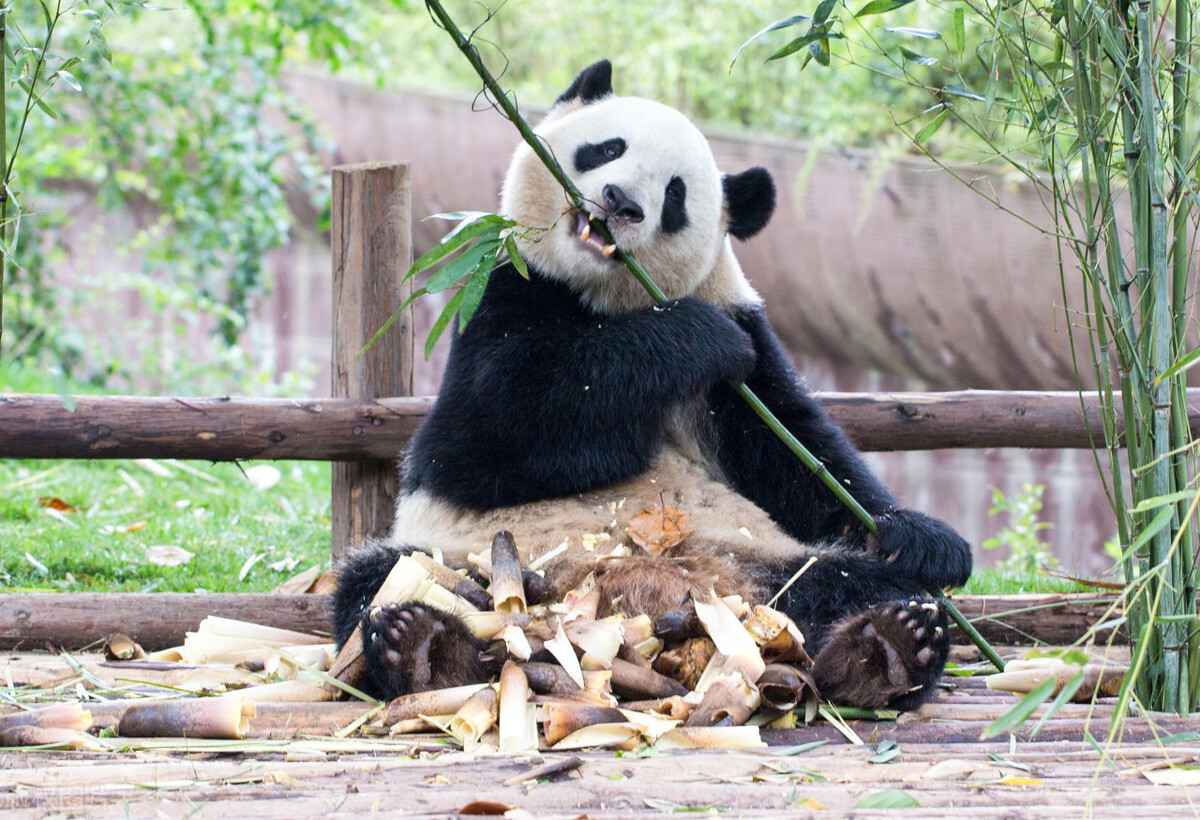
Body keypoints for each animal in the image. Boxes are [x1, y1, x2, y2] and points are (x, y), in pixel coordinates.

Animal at [333, 60, 972, 711]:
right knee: (388, 580)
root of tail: (634, 594)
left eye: (675, 195)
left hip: (759, 565)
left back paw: (889, 647)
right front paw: (694, 337)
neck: (604, 301)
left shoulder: (744, 367)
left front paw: (921, 538)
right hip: (480, 556)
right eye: (608, 148)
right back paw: (423, 646)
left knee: (850, 585)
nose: (620, 202)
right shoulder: (502, 285)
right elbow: (488, 432)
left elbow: (803, 460)